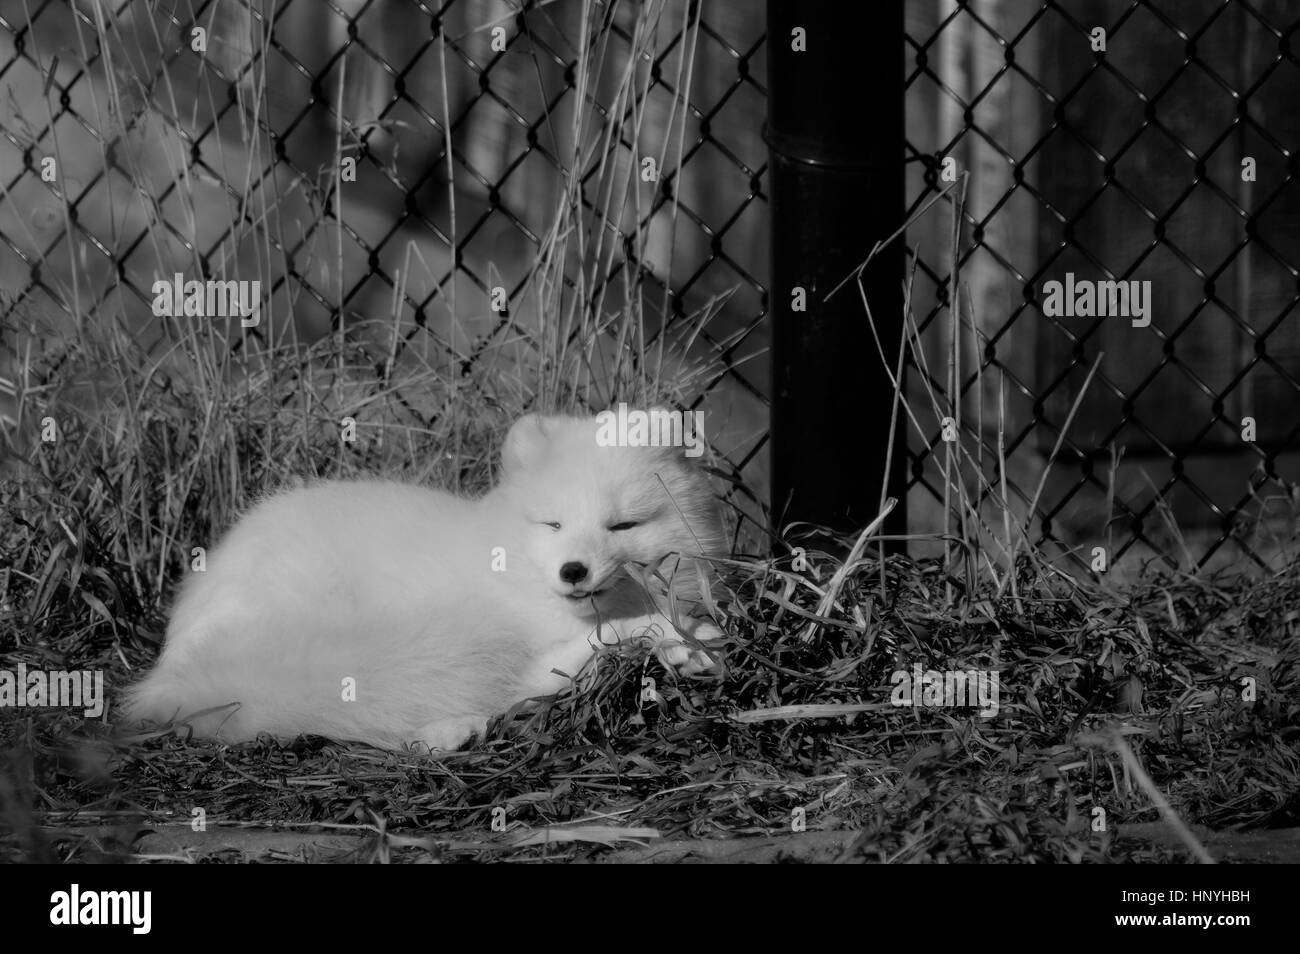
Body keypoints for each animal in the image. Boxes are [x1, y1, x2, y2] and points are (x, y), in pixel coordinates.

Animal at [122, 411, 727, 751]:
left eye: (622, 526)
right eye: (552, 524)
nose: (573, 571)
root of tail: (169, 669)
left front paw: (687, 642)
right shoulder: (533, 659)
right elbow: (600, 642)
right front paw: (675, 638)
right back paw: (445, 733)